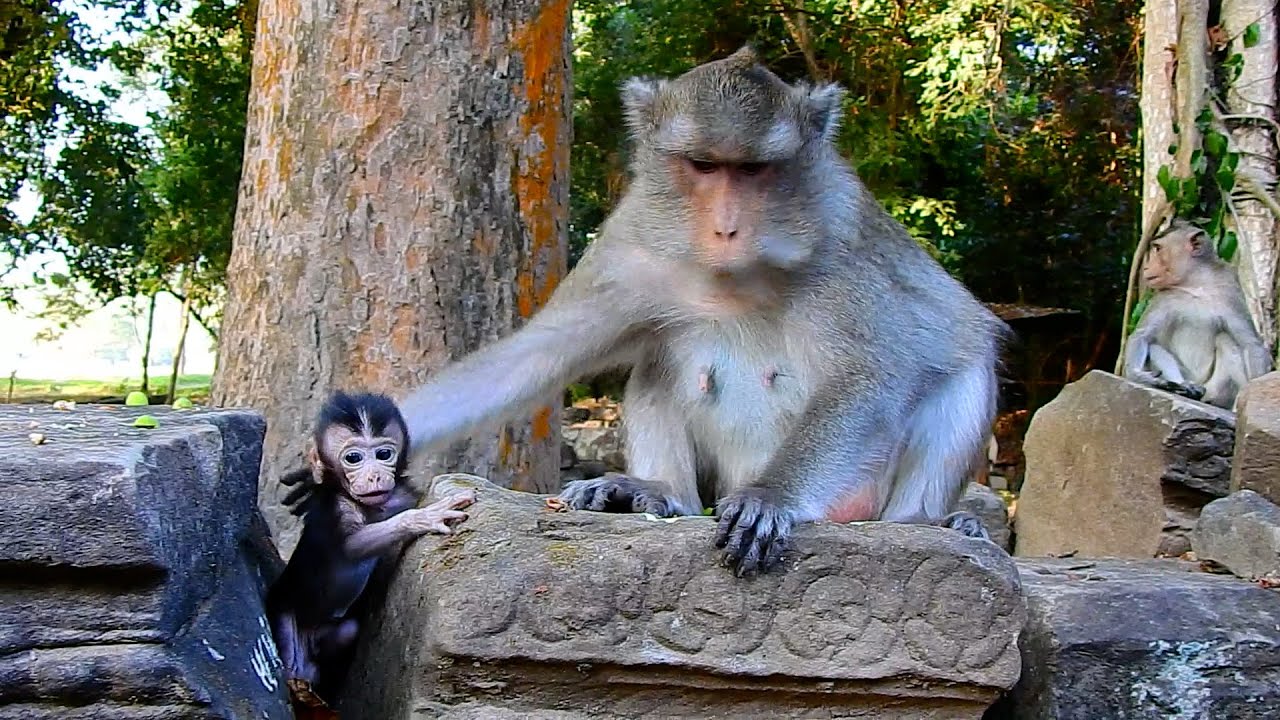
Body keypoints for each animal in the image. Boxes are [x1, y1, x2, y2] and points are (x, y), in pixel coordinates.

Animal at [265, 390, 474, 706]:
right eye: (353, 458)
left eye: (383, 455)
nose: (375, 476)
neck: (371, 507)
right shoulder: (338, 509)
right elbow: (353, 547)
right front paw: (423, 518)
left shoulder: (401, 495)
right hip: (284, 615)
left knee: (346, 633)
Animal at [397, 46, 1007, 577]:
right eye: (704, 166)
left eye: (754, 171)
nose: (727, 228)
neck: (735, 278)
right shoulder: (629, 247)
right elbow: (530, 358)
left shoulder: (840, 250)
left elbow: (873, 376)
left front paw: (770, 497)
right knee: (658, 363)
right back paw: (659, 493)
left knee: (964, 371)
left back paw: (930, 521)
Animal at [1123, 220, 1272, 410]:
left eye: (1158, 248)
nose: (1147, 267)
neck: (1196, 285)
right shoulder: (1164, 297)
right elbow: (1142, 336)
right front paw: (1139, 376)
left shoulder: (1230, 290)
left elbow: (1251, 343)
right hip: (1188, 375)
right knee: (1154, 347)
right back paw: (1184, 387)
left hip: (1217, 388)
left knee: (1226, 339)